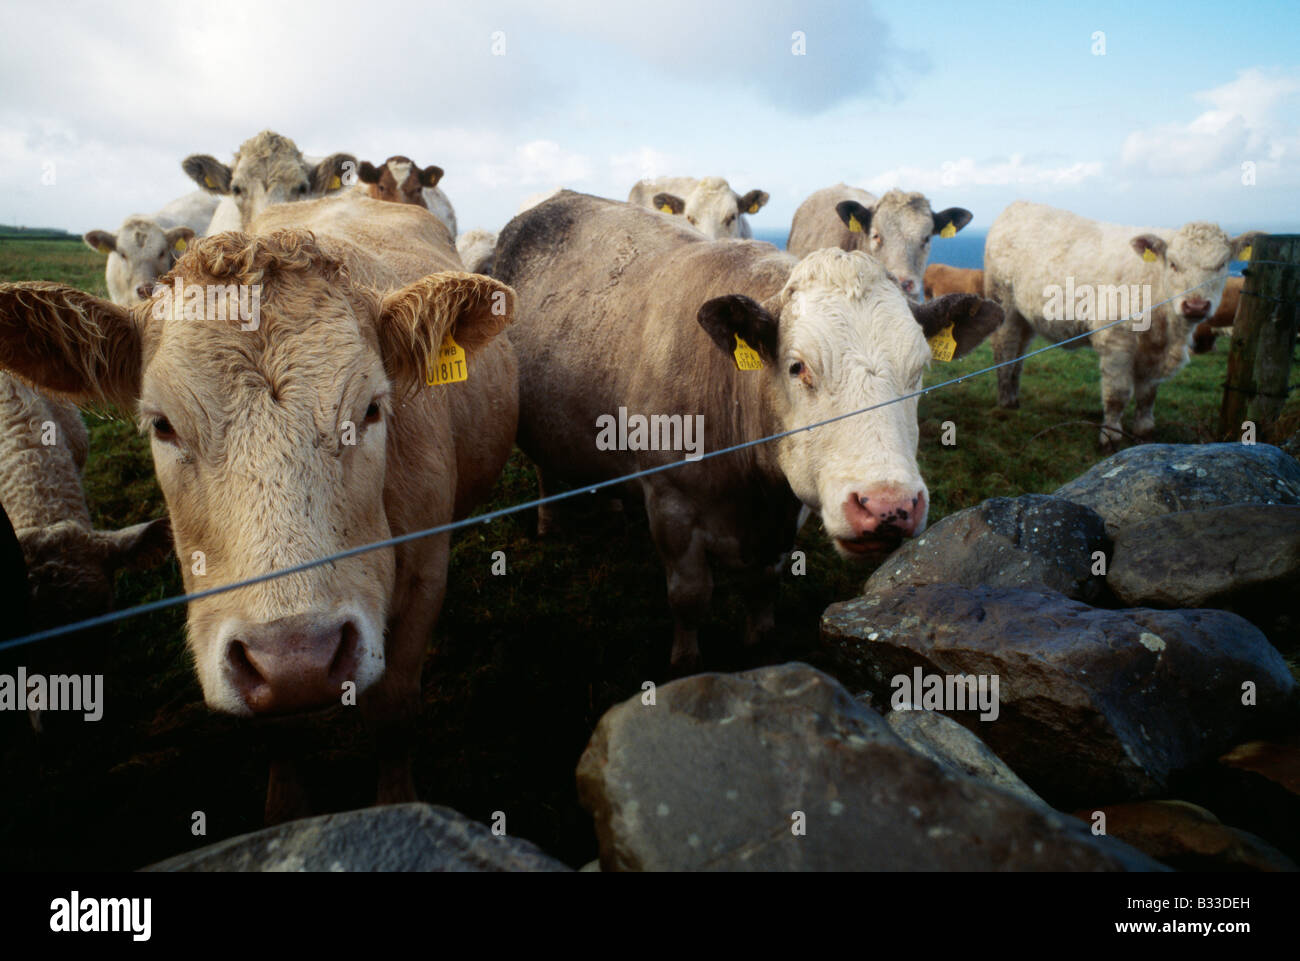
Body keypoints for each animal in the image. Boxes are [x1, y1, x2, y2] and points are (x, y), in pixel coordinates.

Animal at [984, 201, 1263, 449]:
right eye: (1173, 264)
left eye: (1222, 265)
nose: (1195, 306)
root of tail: (1018, 205)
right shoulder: (1115, 340)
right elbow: (1117, 394)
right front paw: (1110, 436)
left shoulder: (1154, 352)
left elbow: (1148, 394)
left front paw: (1144, 430)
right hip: (1003, 303)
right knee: (1004, 349)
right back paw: (1005, 400)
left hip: (1024, 316)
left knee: (1018, 354)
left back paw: (1014, 394)